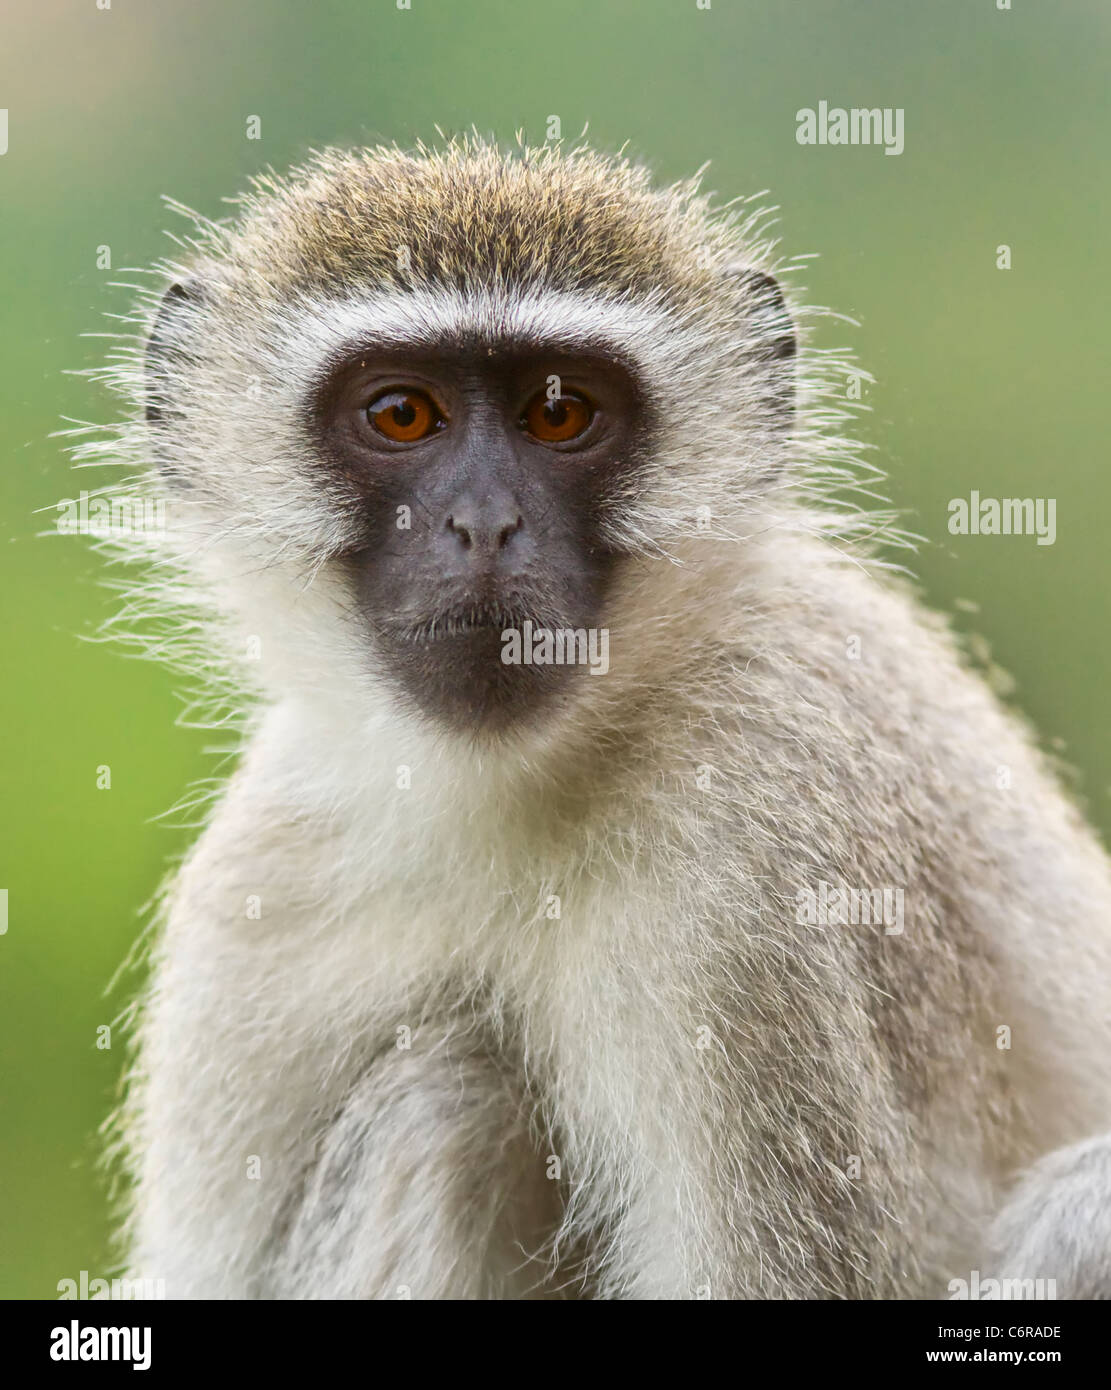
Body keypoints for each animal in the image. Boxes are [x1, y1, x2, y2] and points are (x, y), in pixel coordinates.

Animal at [80, 137, 1111, 1299]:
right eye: (400, 414)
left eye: (560, 412)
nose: (484, 524)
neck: (505, 792)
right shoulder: (258, 895)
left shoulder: (752, 865)